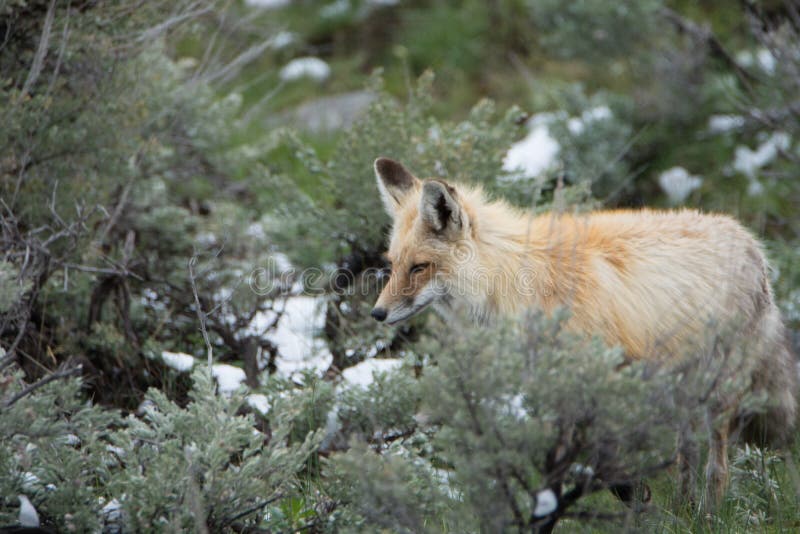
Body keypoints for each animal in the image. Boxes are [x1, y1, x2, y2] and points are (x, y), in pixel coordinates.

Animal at [370, 156, 798, 506]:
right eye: (392, 264)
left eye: (419, 267)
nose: (377, 313)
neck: (514, 282)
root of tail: (752, 244)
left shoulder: (602, 376)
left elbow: (603, 460)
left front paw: (633, 497)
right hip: (681, 391)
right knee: (686, 459)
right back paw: (684, 509)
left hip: (716, 392)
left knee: (717, 469)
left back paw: (707, 515)